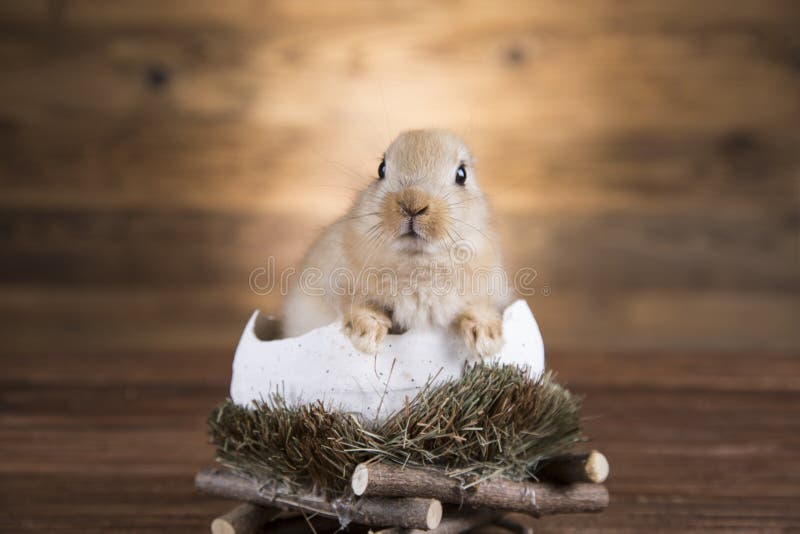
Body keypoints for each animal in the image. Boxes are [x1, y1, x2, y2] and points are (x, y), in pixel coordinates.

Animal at [283, 129, 510, 358]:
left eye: (461, 175)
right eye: (381, 169)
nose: (412, 203)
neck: (417, 263)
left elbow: (479, 307)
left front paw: (487, 341)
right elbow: (358, 303)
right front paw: (366, 337)